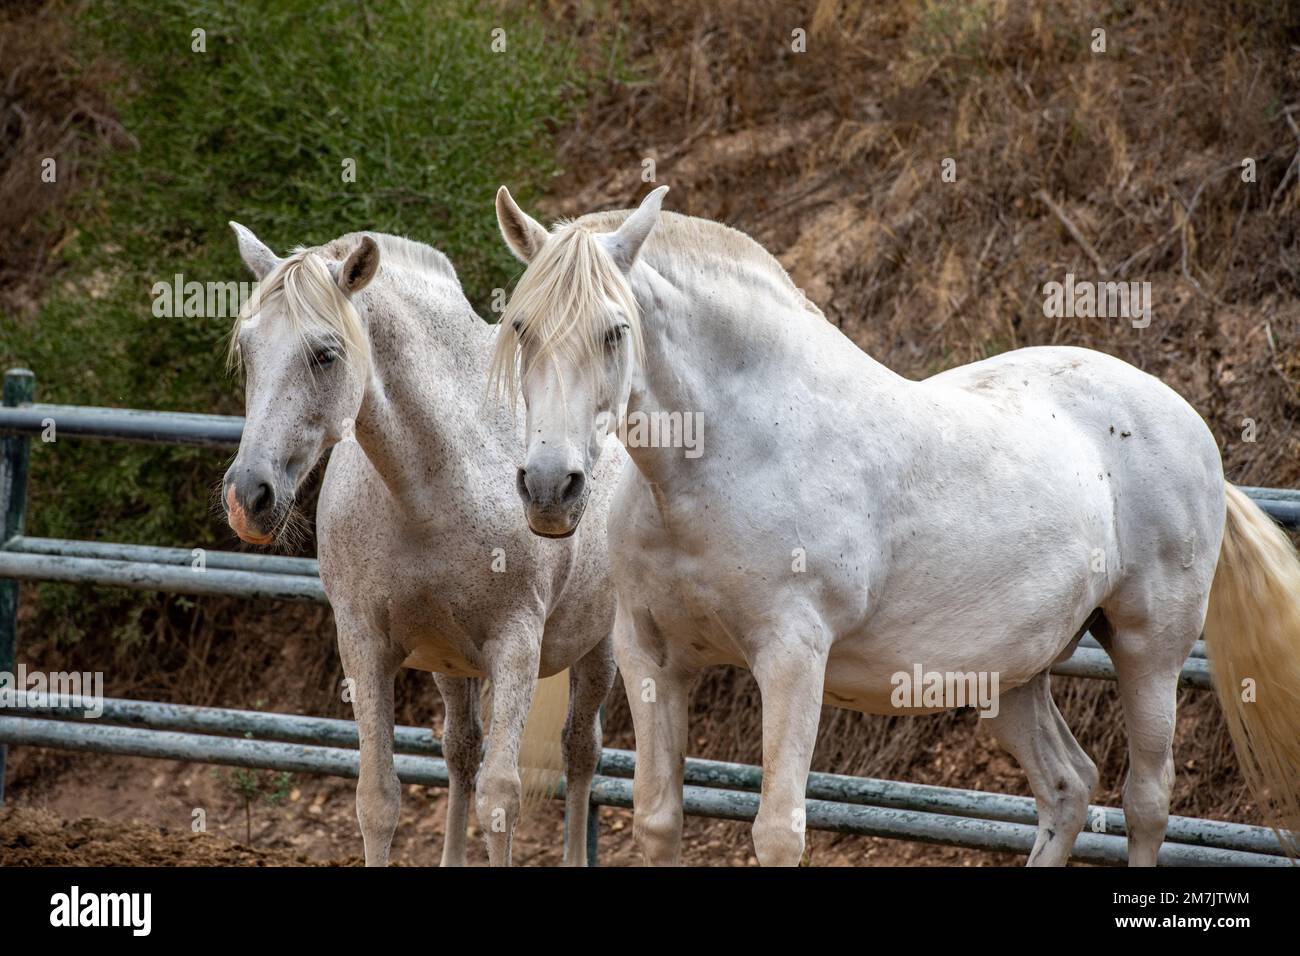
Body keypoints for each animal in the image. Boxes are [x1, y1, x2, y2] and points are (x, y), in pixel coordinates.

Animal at [220, 222, 623, 866]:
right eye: (248, 349)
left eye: (325, 353)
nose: (246, 496)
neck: (430, 488)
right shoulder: (365, 644)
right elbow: (378, 799)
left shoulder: (516, 645)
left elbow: (500, 801)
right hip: (452, 666)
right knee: (461, 749)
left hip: (597, 647)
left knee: (580, 750)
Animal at [488, 185, 1300, 866]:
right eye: (521, 328)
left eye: (615, 331)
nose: (551, 488)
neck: (731, 452)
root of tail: (1186, 418)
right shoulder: (651, 657)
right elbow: (659, 820)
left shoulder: (792, 658)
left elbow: (778, 832)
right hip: (1010, 674)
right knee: (1068, 787)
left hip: (1149, 650)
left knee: (1146, 801)